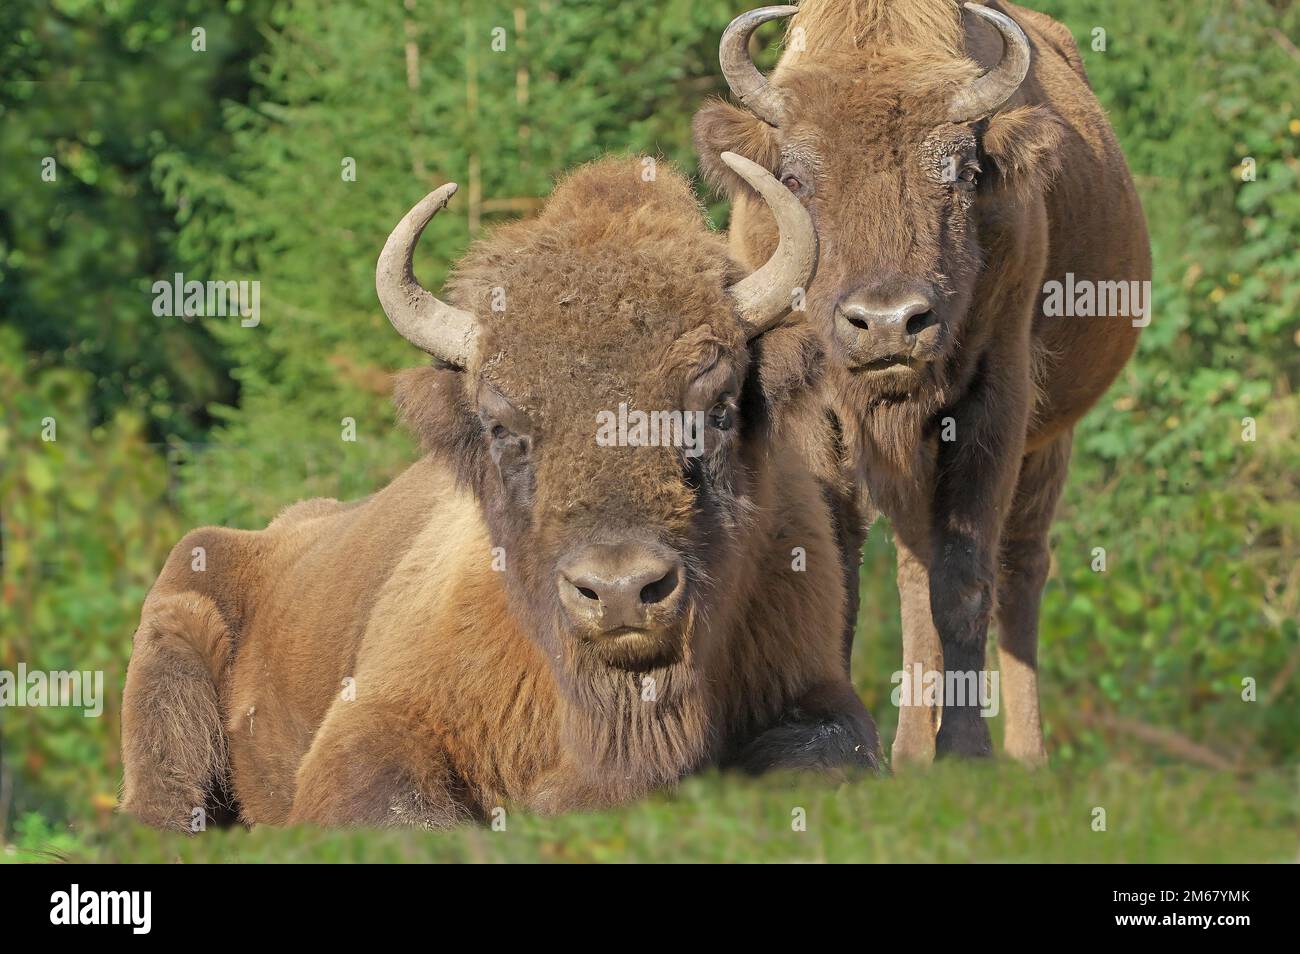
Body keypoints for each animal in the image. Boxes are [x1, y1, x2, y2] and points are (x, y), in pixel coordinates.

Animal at [693, 0, 1151, 765]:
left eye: (963, 172)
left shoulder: (994, 407)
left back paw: (1025, 754)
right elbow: (843, 573)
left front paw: (966, 750)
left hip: (1048, 443)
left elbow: (964, 578)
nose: (887, 324)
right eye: (795, 180)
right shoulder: (819, 422)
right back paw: (910, 751)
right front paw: (844, 746)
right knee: (912, 573)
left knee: (1020, 572)